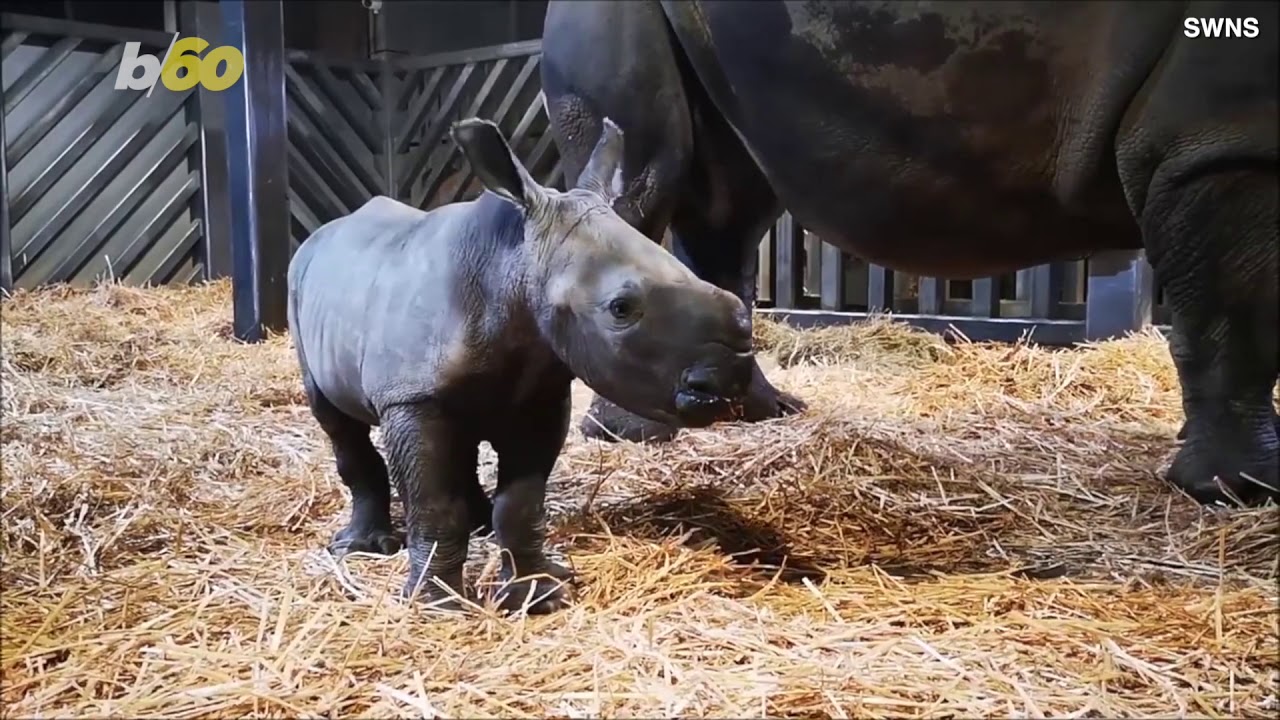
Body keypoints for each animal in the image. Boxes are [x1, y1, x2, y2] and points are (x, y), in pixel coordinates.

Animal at [287, 117, 755, 613]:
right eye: (621, 308)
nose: (727, 380)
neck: (513, 263)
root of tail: (320, 235)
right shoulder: (411, 398)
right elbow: (434, 502)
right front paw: (438, 606)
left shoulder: (540, 394)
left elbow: (521, 503)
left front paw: (539, 595)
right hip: (300, 292)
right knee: (335, 420)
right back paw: (361, 548)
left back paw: (478, 527)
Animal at [541, 0, 1279, 506]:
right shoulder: (1221, 139)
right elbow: (1236, 317)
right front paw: (1238, 491)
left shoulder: (1216, 142)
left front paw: (1227, 483)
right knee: (647, 175)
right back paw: (638, 435)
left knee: (729, 206)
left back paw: (754, 413)